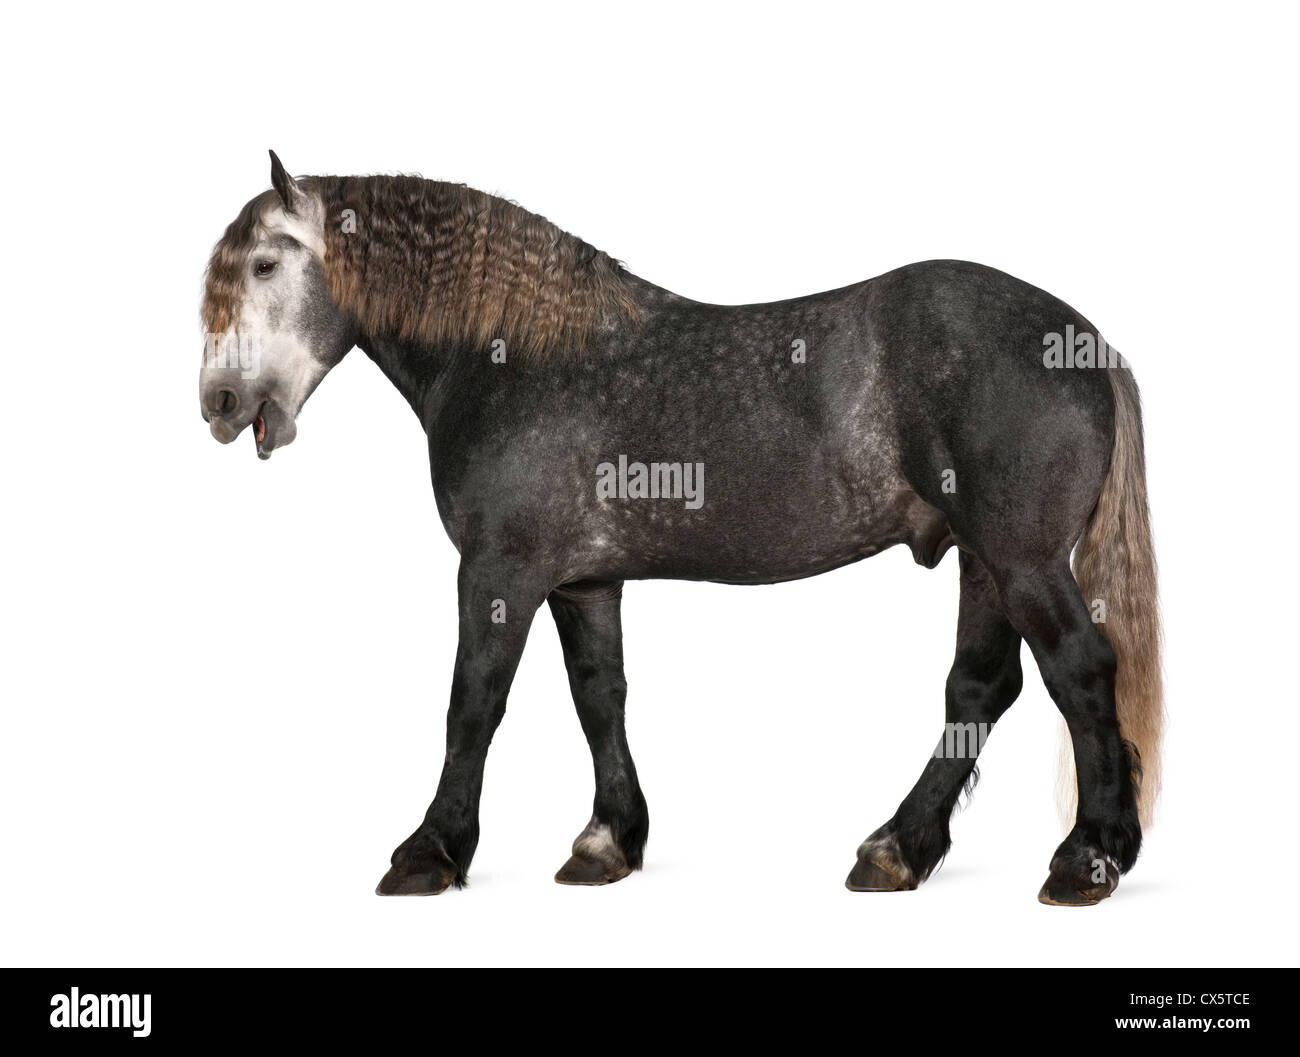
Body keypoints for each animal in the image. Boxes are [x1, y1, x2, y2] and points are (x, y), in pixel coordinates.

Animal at [199, 151, 1163, 905]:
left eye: (264, 265)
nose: (220, 403)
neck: (516, 357)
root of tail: (1085, 343)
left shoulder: (500, 571)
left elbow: (473, 701)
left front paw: (429, 851)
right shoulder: (583, 581)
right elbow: (600, 696)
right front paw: (606, 843)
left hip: (1022, 558)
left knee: (1080, 670)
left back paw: (1085, 858)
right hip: (985, 561)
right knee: (979, 690)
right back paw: (899, 848)